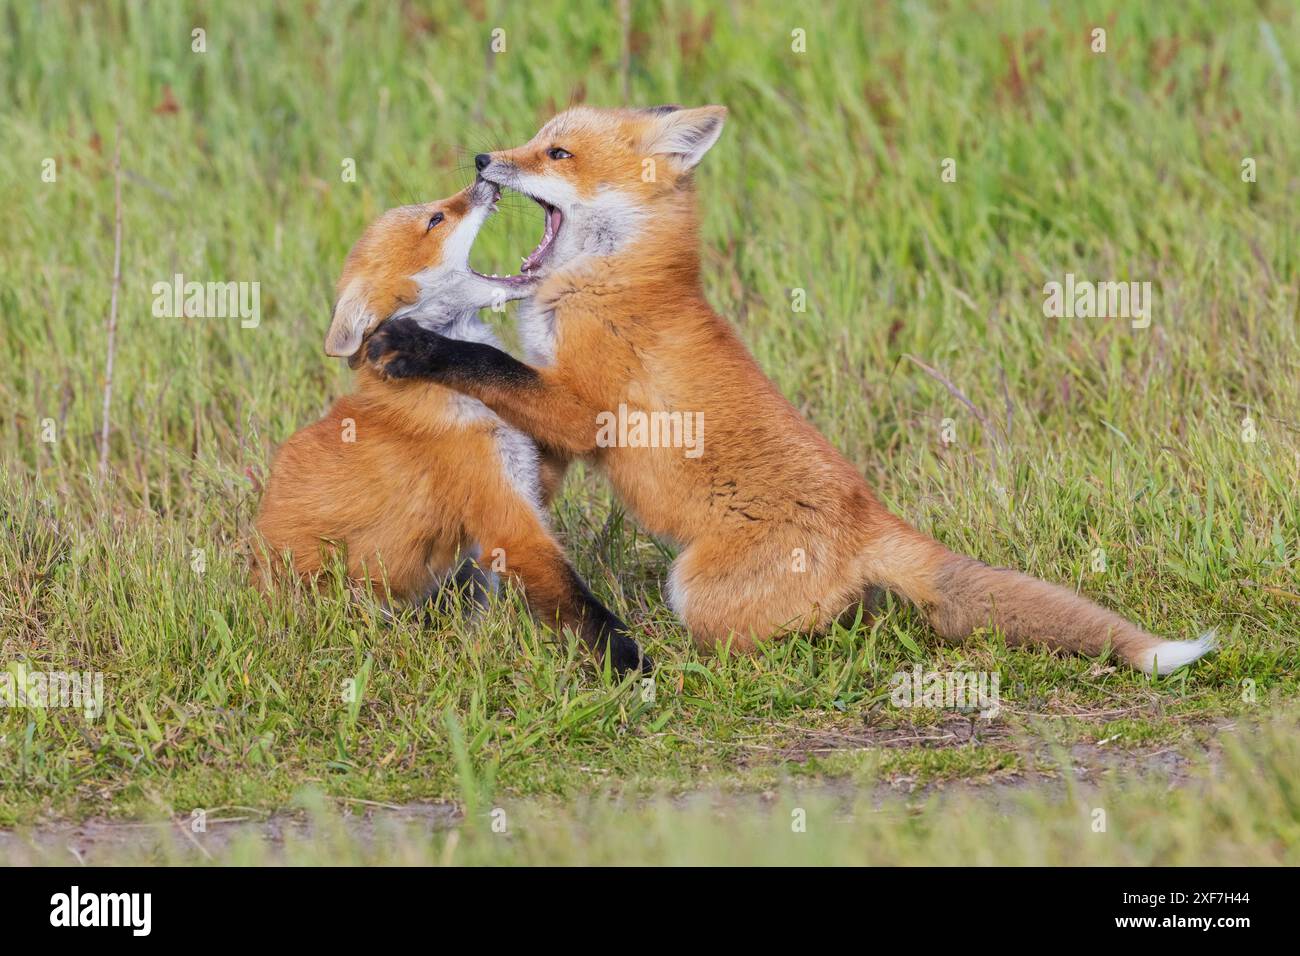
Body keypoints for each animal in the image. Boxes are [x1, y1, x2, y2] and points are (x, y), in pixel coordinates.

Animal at [251, 178, 650, 676]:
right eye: (436, 219)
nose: (483, 178)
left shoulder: (522, 470)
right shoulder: (507, 518)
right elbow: (581, 605)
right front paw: (631, 664)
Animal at [363, 105, 1215, 676]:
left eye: (558, 152)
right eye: (537, 138)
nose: (482, 158)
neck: (614, 284)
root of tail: (869, 514)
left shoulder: (585, 410)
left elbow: (489, 367)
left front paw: (416, 347)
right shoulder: (560, 425)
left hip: (694, 589)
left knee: (814, 629)